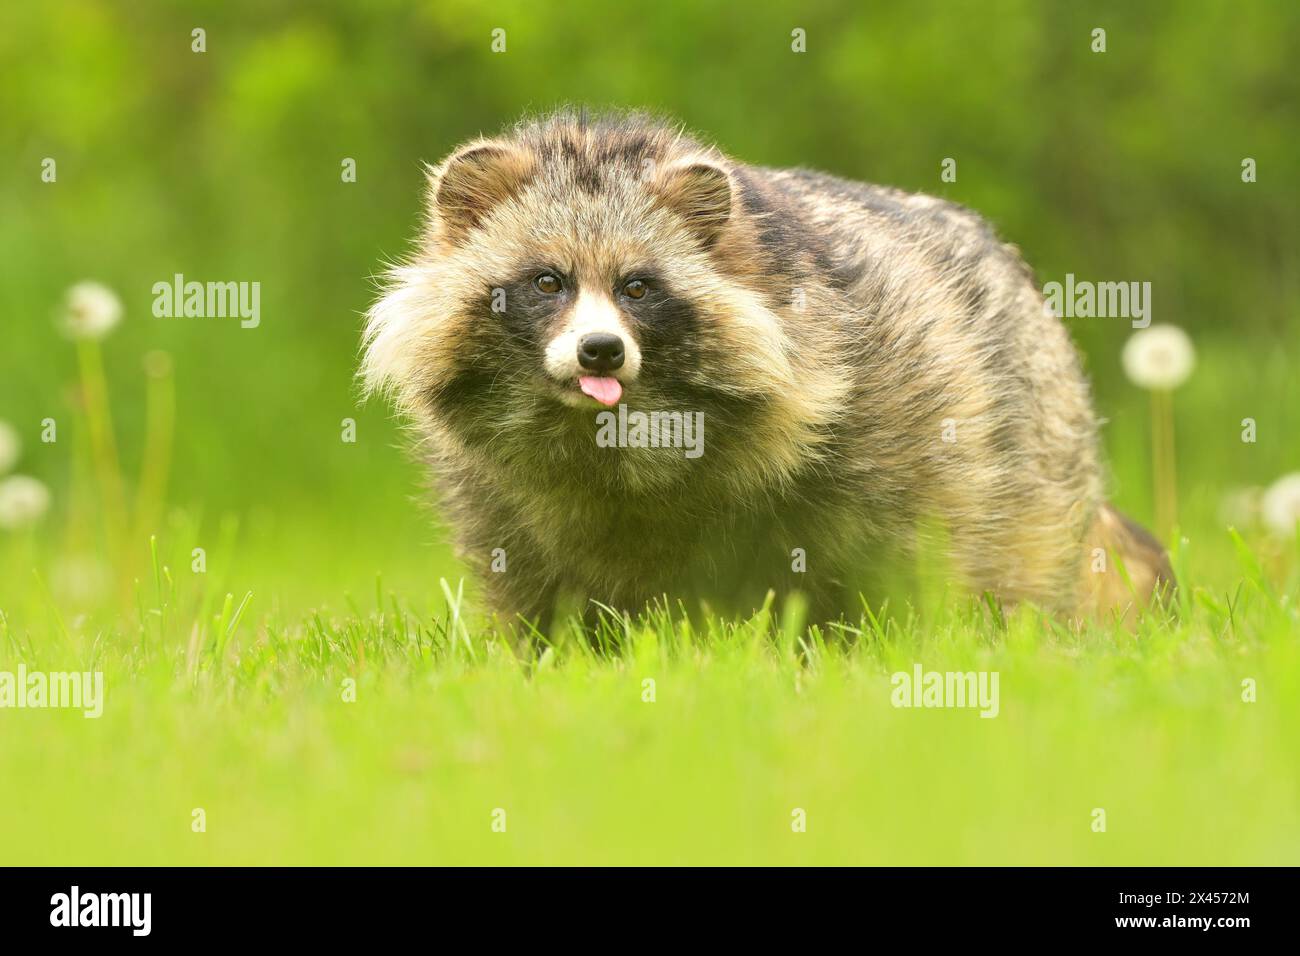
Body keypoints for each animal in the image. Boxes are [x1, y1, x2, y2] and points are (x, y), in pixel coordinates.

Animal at [362, 109, 1172, 633]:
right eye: (546, 282)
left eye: (637, 288)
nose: (600, 351)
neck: (607, 432)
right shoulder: (497, 486)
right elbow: (532, 578)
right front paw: (552, 650)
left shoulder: (874, 407)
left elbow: (885, 556)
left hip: (1026, 439)